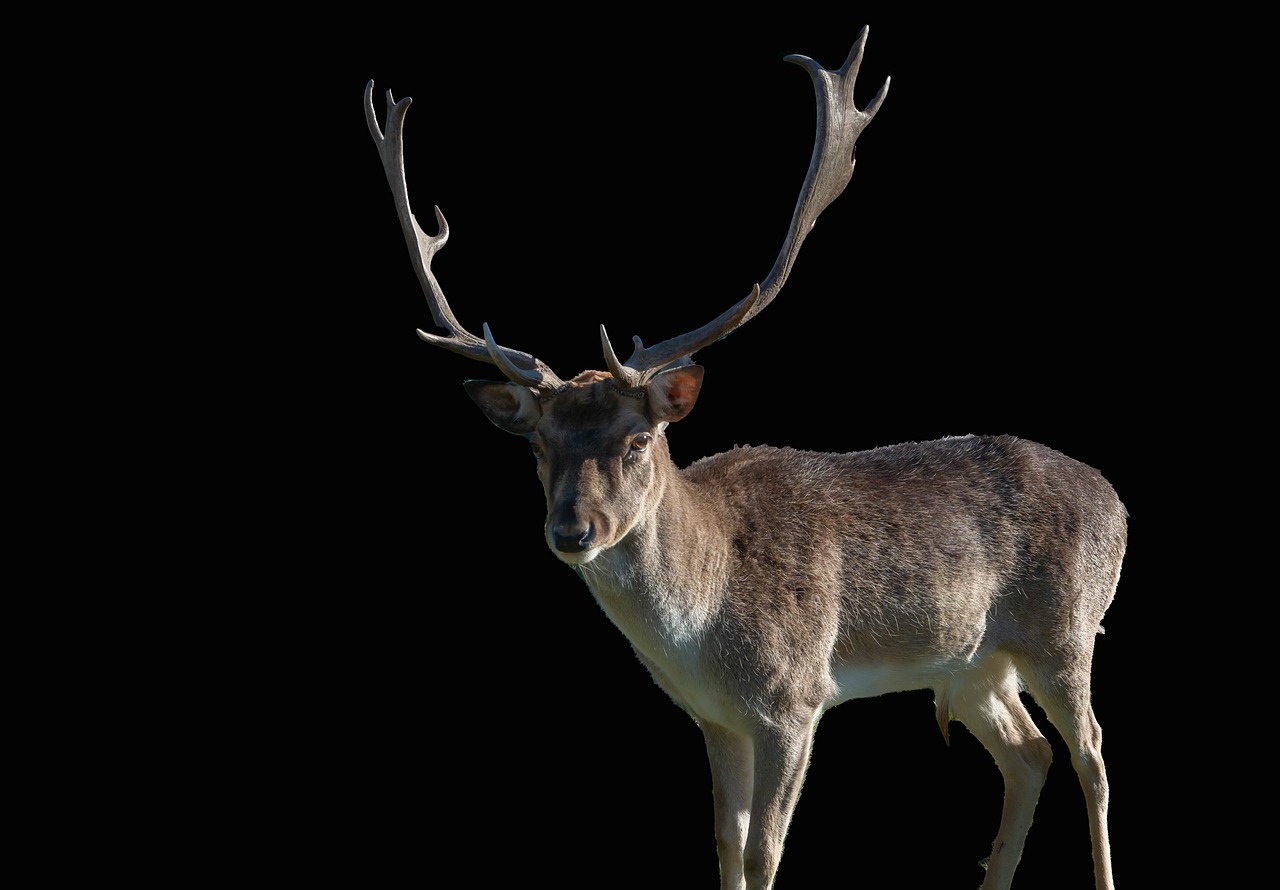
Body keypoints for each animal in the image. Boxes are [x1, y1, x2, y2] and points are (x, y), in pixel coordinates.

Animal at [365, 26, 1125, 890]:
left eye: (637, 439)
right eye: (537, 444)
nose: (571, 531)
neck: (702, 631)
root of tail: (1117, 498)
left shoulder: (794, 696)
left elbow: (764, 850)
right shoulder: (714, 717)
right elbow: (727, 843)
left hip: (1066, 628)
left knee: (1092, 756)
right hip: (970, 664)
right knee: (1028, 755)